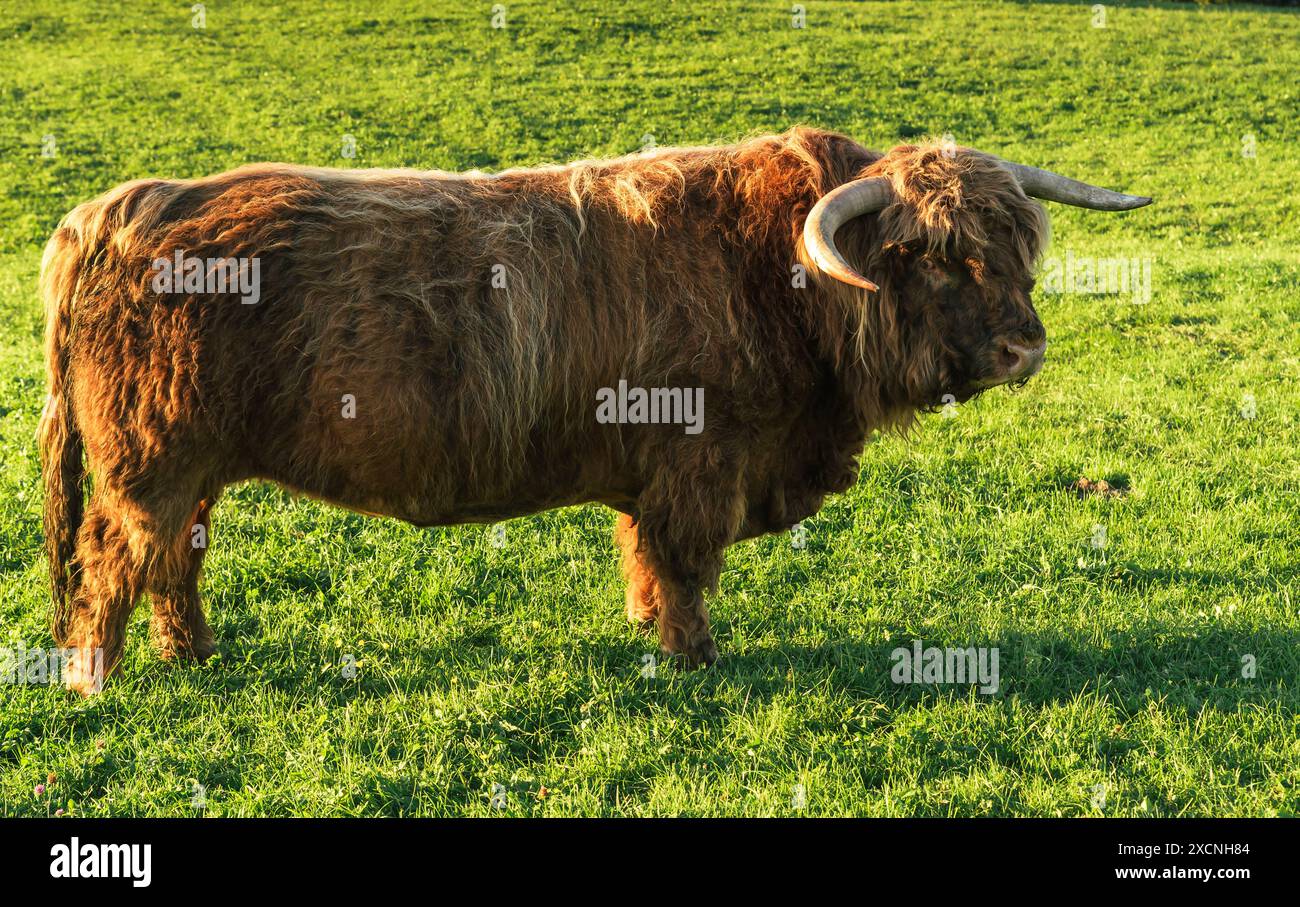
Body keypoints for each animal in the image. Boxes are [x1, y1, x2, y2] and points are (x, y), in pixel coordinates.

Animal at [37, 127, 1150, 694]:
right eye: (932, 253)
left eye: (1018, 246)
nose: (1024, 345)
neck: (782, 276)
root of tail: (120, 206)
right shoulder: (702, 458)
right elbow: (685, 560)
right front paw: (694, 657)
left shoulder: (656, 467)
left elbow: (643, 555)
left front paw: (649, 625)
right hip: (150, 462)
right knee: (113, 559)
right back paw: (99, 675)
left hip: (191, 467)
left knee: (174, 559)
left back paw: (193, 652)